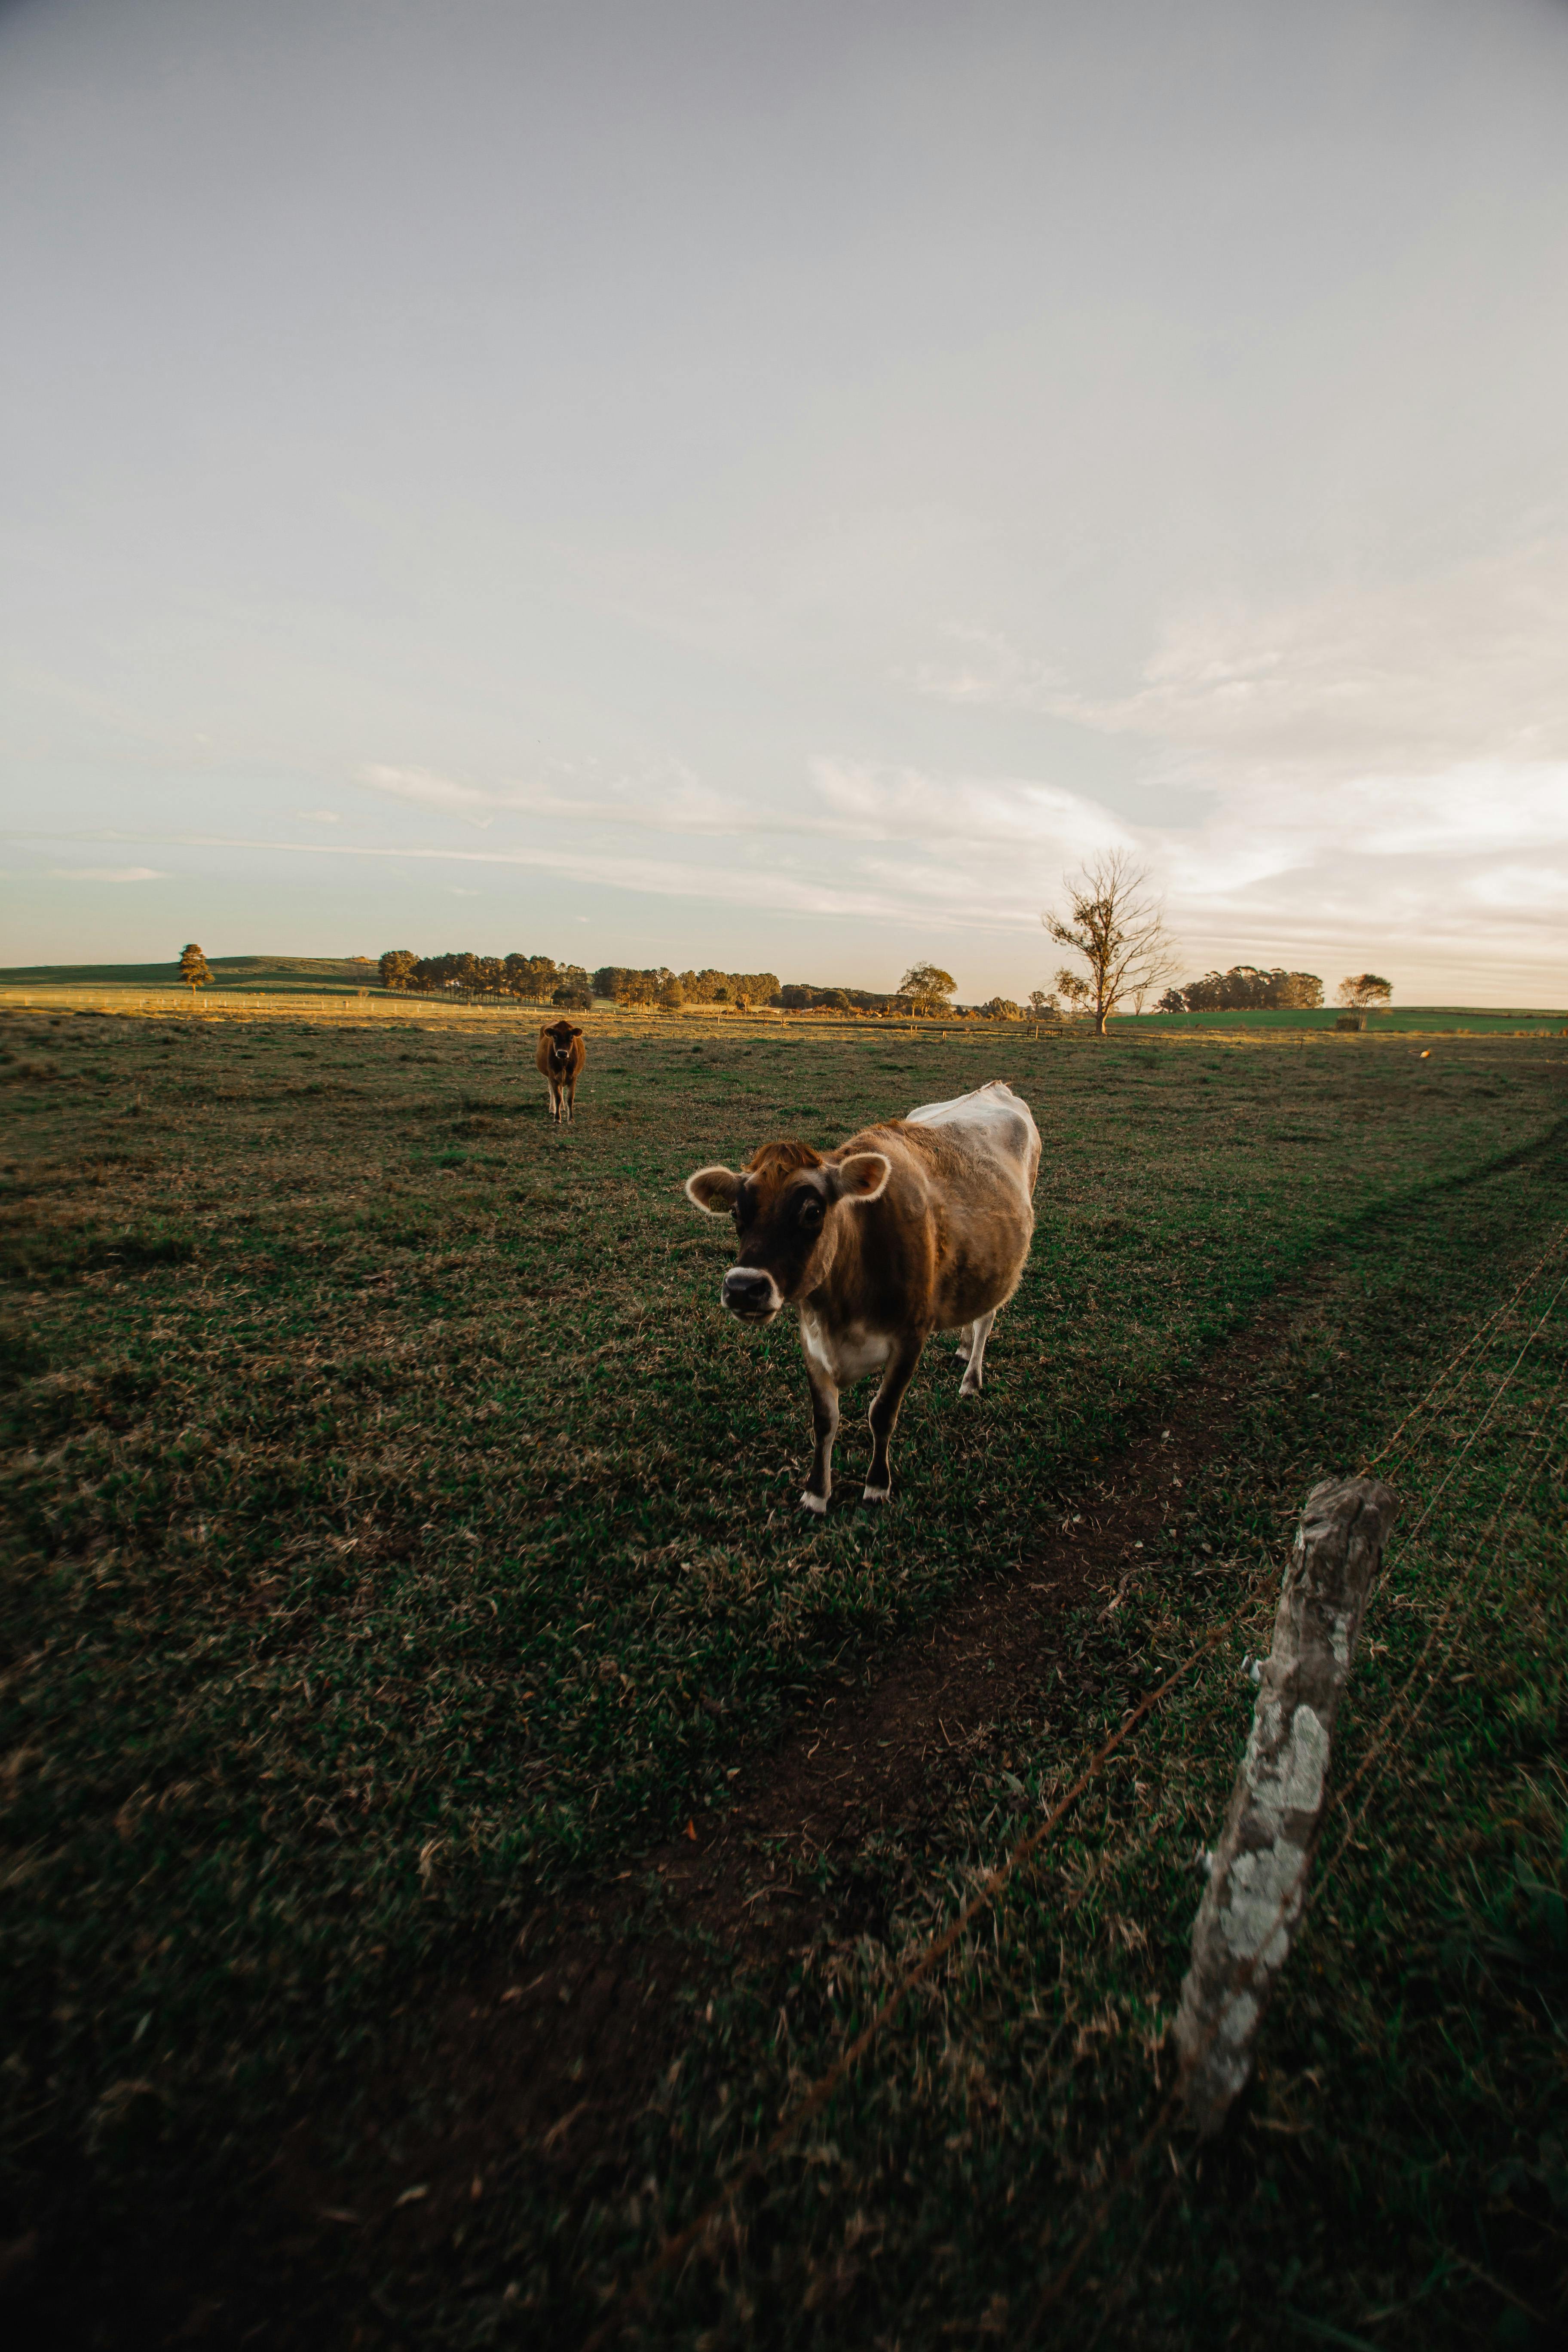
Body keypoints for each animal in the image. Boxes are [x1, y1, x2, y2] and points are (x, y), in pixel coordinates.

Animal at [536, 1019, 586, 1122]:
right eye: (555, 1037)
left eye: (571, 1037)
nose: (562, 1053)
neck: (563, 1063)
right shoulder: (553, 1076)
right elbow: (557, 1097)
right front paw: (557, 1118)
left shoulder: (573, 1077)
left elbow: (570, 1098)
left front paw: (571, 1119)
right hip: (550, 1076)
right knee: (552, 1091)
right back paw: (553, 1109)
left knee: (562, 1089)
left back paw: (563, 1108)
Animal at [684, 1080, 1039, 1511]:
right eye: (736, 1213)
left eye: (813, 1212)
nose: (742, 1288)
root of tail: (995, 1088)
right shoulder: (812, 1340)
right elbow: (825, 1419)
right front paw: (816, 1493)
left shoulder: (911, 1337)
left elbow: (882, 1413)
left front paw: (877, 1485)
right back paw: (962, 1347)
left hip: (1004, 1266)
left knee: (986, 1318)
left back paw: (972, 1377)